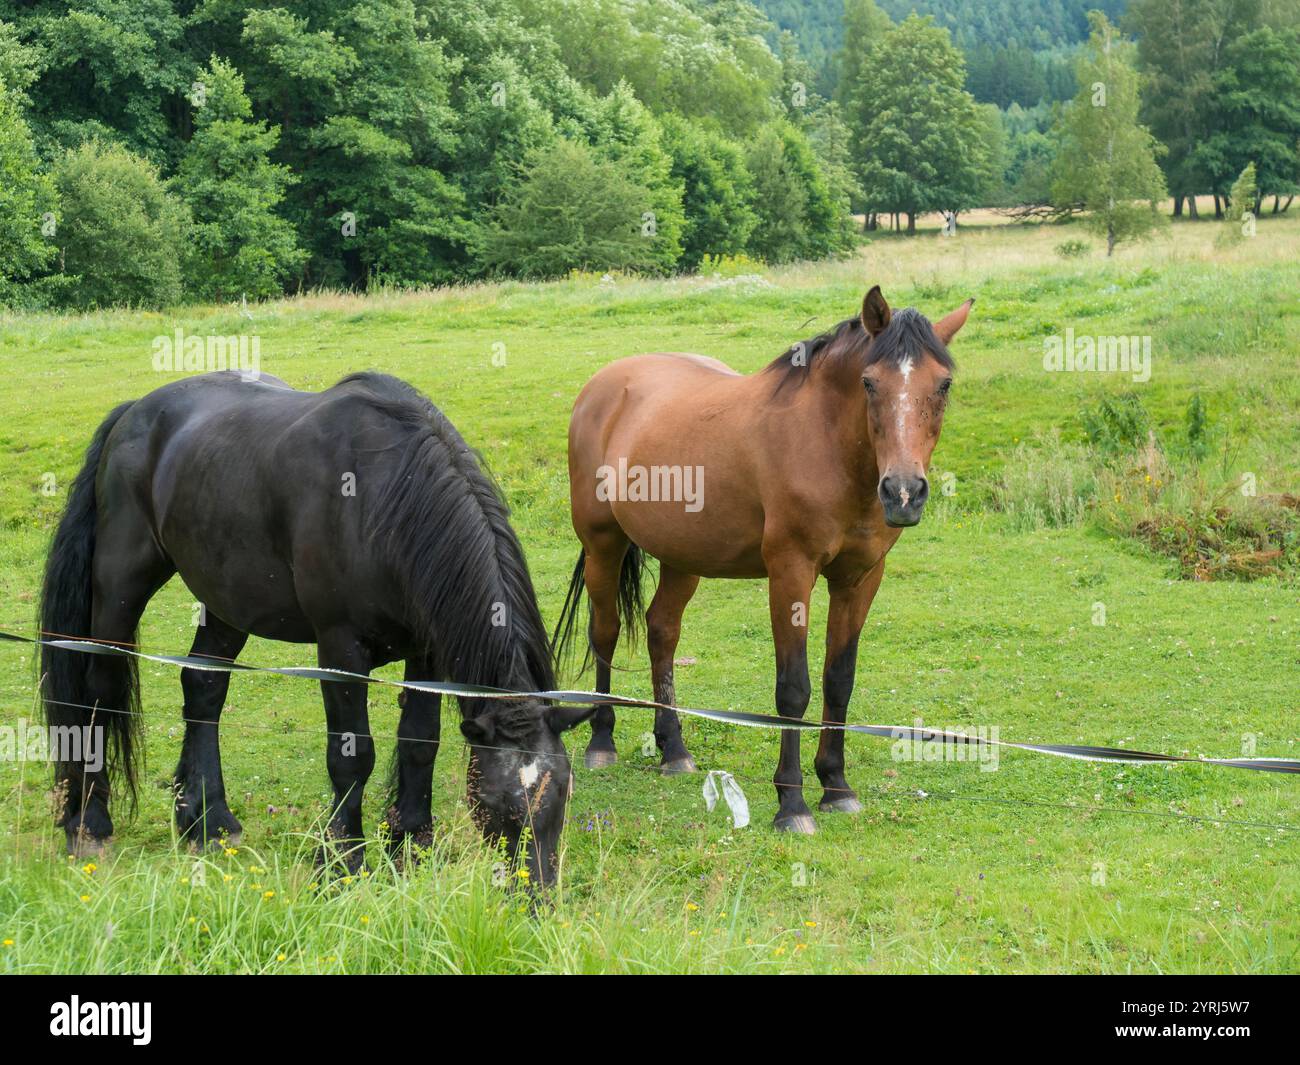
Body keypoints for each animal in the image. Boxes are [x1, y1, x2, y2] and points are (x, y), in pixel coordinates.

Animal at [39, 370, 593, 883]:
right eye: (502, 804)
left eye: (561, 795)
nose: (537, 896)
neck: (383, 498)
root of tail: (134, 412)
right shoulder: (341, 651)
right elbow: (352, 756)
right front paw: (343, 861)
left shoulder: (426, 652)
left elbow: (420, 742)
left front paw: (411, 846)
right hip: (121, 586)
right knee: (99, 692)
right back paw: (89, 822)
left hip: (227, 601)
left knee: (203, 687)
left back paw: (206, 821)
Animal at [553, 285, 972, 832]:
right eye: (869, 382)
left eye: (942, 384)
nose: (903, 492)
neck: (826, 445)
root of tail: (602, 386)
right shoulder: (790, 572)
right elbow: (793, 688)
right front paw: (791, 803)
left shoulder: (860, 578)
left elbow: (839, 680)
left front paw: (836, 786)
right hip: (603, 543)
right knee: (604, 630)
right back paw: (602, 740)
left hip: (682, 557)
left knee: (662, 631)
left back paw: (673, 749)